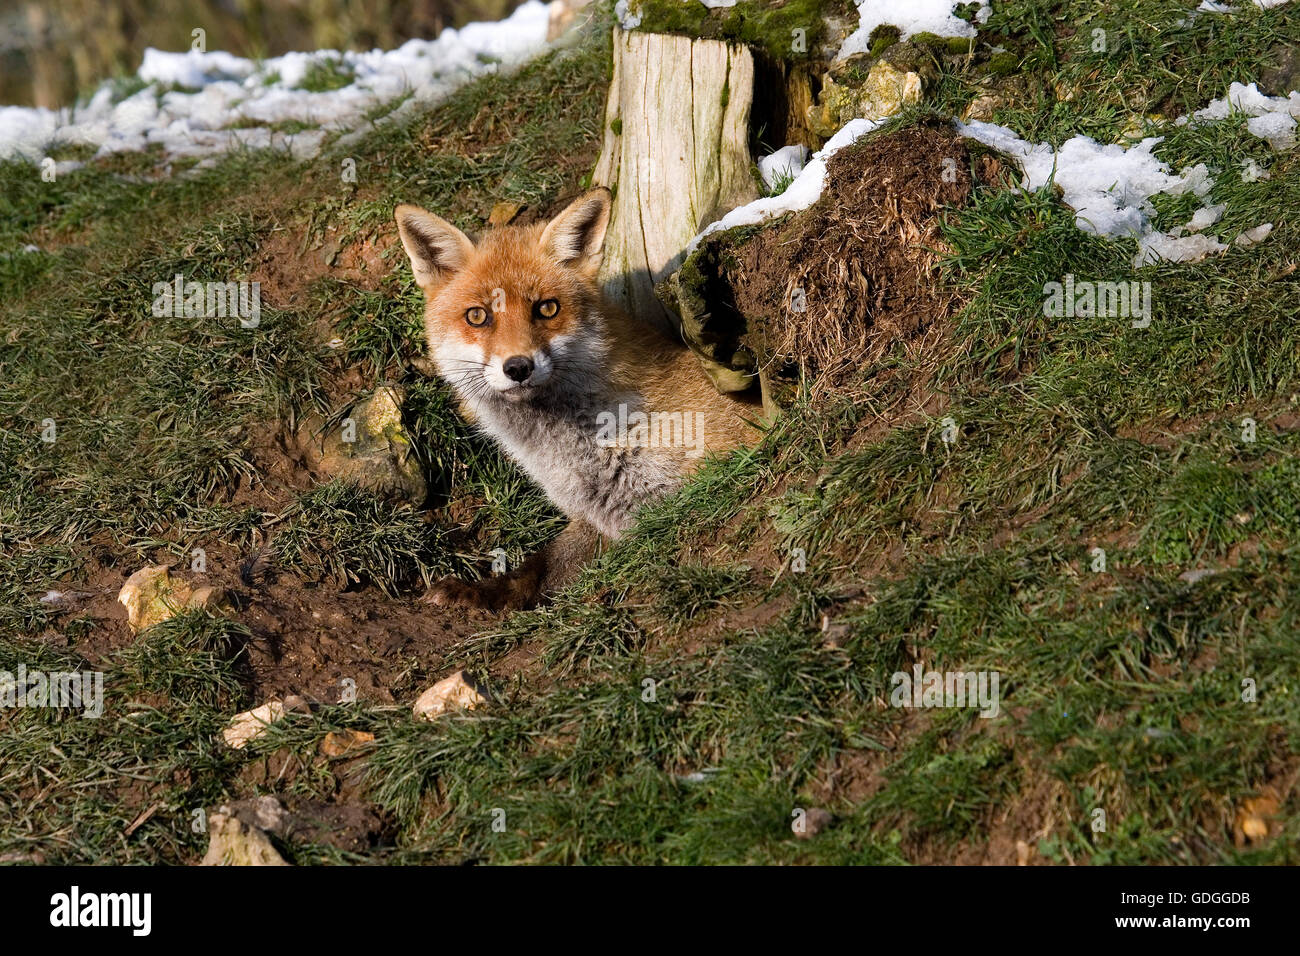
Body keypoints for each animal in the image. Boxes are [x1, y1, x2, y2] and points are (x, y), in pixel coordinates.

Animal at [394, 187, 760, 610]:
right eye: (477, 316)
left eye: (547, 308)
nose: (517, 367)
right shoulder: (598, 521)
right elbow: (537, 569)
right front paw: (482, 594)